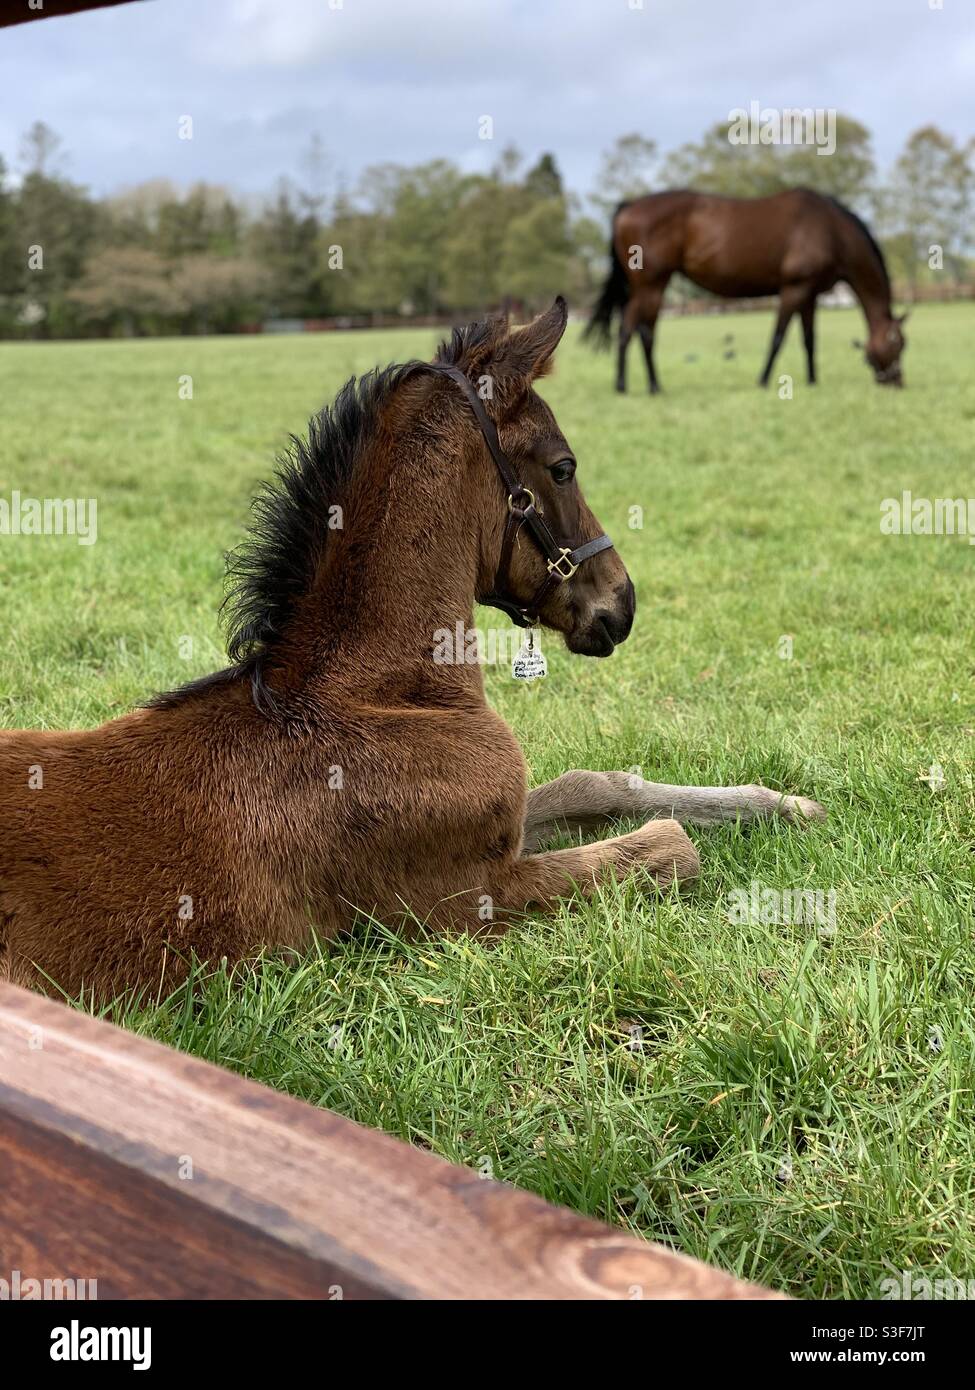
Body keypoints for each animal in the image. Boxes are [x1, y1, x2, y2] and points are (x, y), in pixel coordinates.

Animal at [0, 298, 823, 1005]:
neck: (374, 699)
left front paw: (782, 803)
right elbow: (667, 847)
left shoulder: (500, 830)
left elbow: (593, 785)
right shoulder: (464, 896)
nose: (619, 604)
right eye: (562, 466)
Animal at [585, 189, 908, 393]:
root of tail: (629, 206)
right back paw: (653, 386)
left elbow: (809, 340)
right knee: (645, 332)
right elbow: (778, 337)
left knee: (627, 329)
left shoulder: (810, 294)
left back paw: (622, 386)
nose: (897, 382)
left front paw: (813, 380)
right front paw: (763, 380)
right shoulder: (794, 289)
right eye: (899, 344)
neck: (830, 229)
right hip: (652, 285)